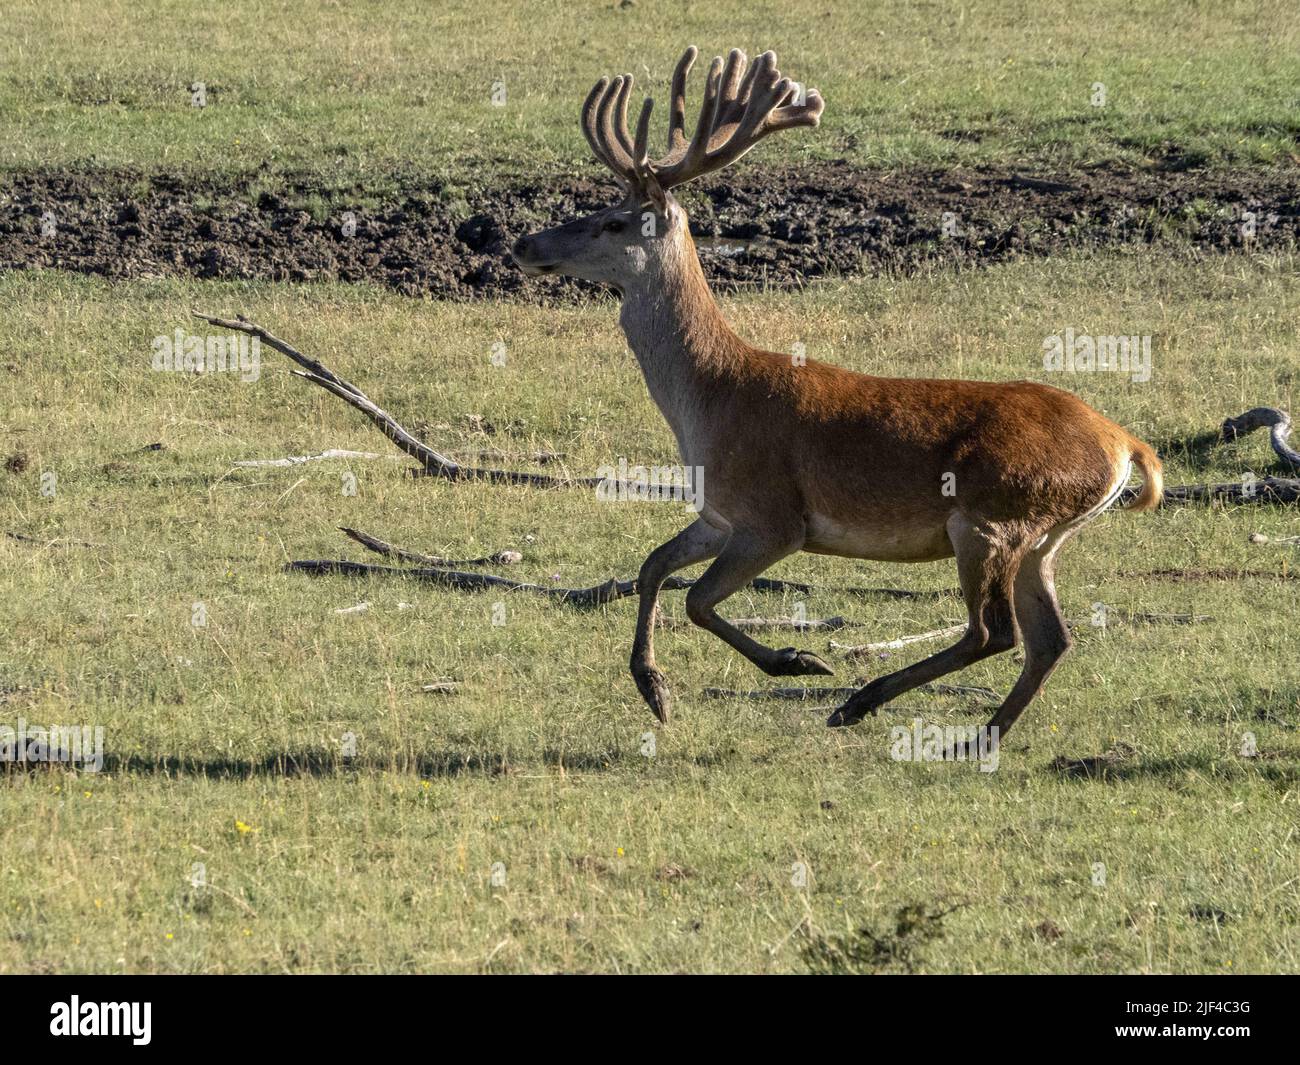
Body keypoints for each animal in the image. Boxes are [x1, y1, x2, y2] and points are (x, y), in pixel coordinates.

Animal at [510, 46, 1163, 751]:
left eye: (613, 221)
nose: (523, 244)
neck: (706, 404)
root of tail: (1128, 445)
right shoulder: (719, 512)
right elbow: (653, 565)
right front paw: (654, 689)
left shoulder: (774, 516)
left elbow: (696, 599)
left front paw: (796, 661)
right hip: (1043, 538)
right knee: (1049, 640)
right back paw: (977, 737)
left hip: (992, 517)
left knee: (994, 631)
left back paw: (860, 700)